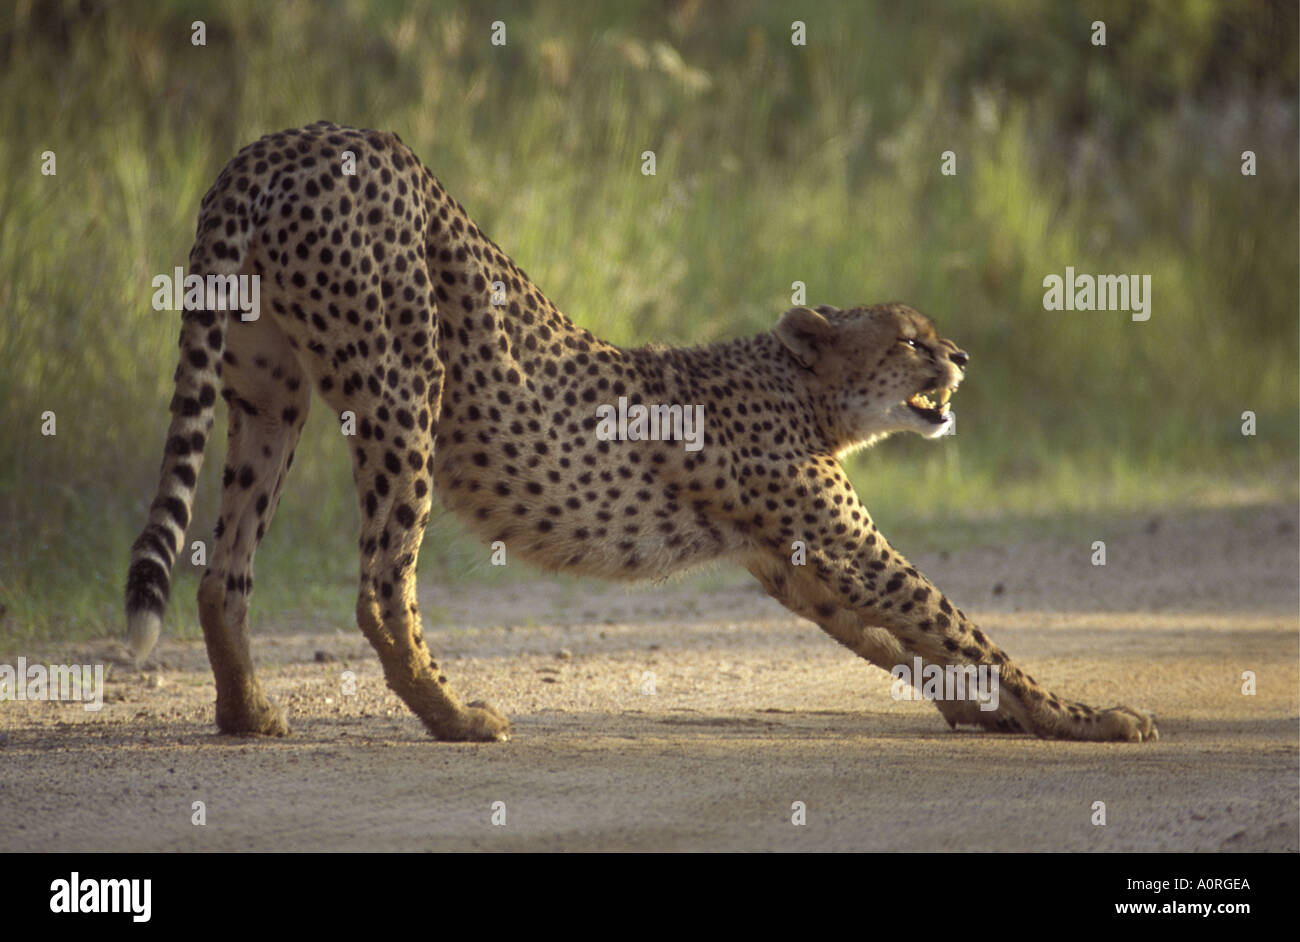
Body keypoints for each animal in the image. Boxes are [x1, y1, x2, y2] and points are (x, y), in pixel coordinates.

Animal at [124, 122, 1158, 744]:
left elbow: (903, 641)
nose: (964, 359)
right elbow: (962, 627)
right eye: (912, 338)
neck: (807, 391)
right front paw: (1092, 715)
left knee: (223, 570)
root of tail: (288, 139)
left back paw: (249, 712)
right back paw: (459, 718)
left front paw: (992, 713)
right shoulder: (841, 545)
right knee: (381, 588)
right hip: (401, 382)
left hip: (270, 392)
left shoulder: (792, 562)